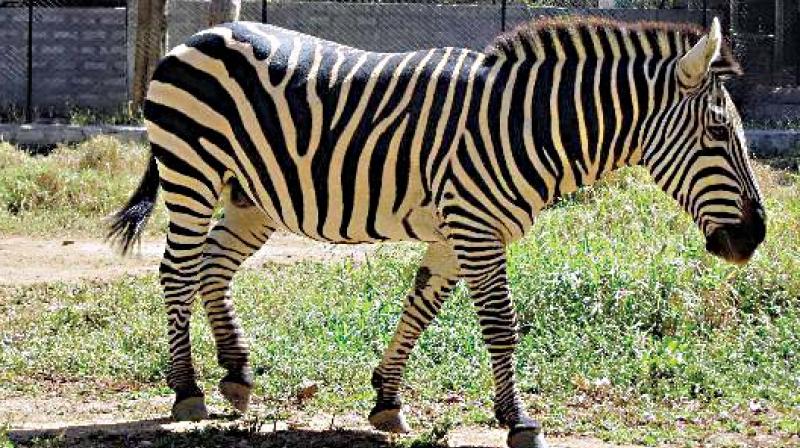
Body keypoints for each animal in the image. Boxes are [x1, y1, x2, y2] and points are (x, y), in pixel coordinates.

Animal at [109, 16, 765, 448]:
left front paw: (386, 401)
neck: (528, 125)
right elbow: (500, 324)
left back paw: (237, 376)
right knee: (179, 272)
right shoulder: (475, 227)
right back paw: (187, 390)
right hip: (191, 171)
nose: (755, 238)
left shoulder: (457, 232)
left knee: (212, 269)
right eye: (717, 132)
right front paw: (518, 421)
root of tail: (196, 36)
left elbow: (419, 309)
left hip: (252, 199)